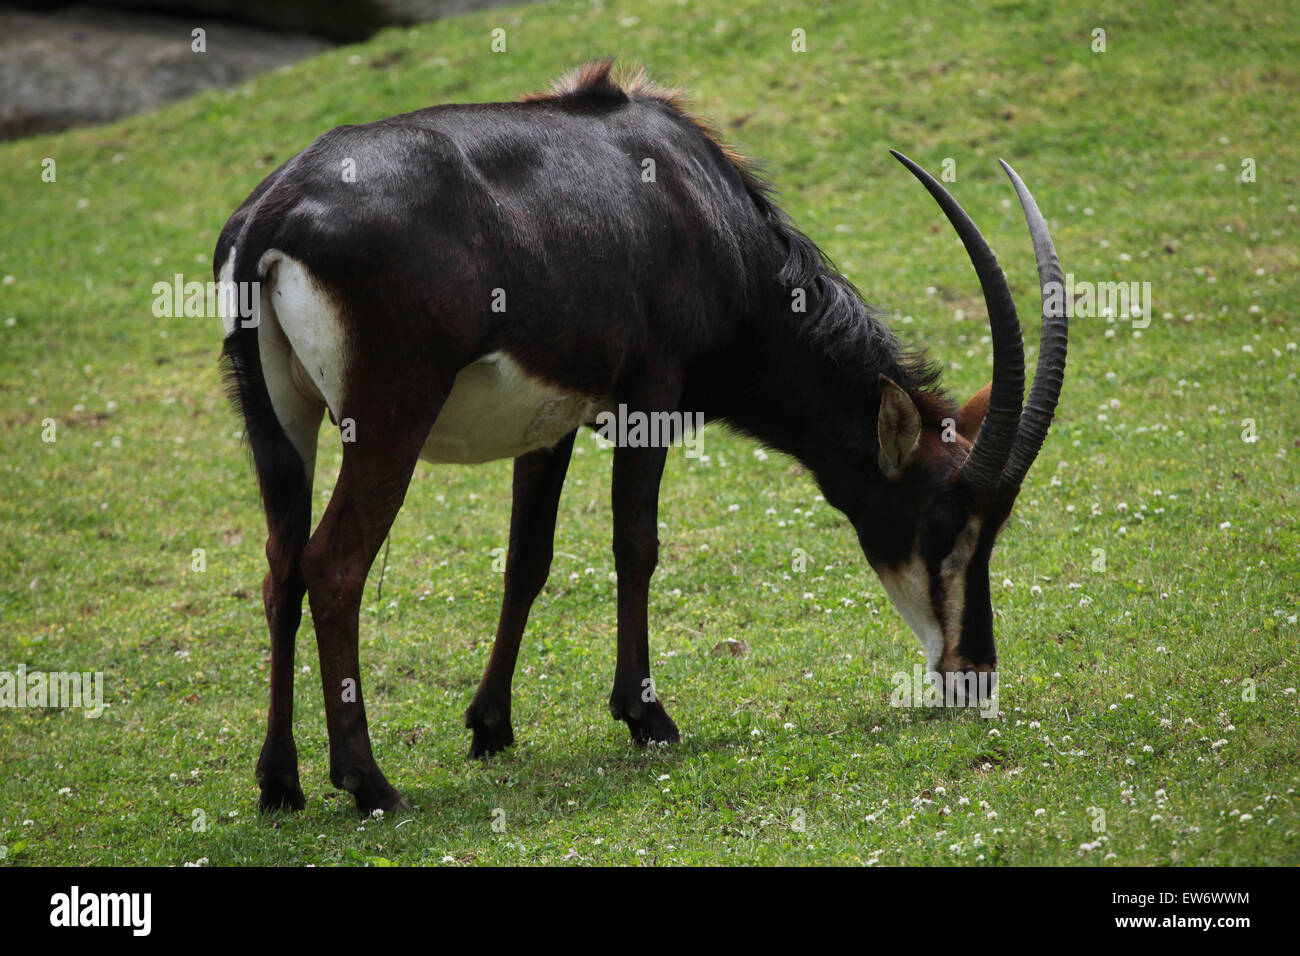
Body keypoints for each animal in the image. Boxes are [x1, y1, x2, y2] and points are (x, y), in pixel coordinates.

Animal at [215, 60, 1066, 814]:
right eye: (946, 527)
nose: (973, 670)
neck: (705, 208)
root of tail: (275, 214)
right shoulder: (649, 398)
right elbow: (637, 545)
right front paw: (646, 715)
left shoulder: (548, 424)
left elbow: (527, 560)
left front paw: (490, 726)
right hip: (389, 421)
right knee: (334, 567)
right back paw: (369, 784)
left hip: (280, 428)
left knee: (281, 569)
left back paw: (279, 783)